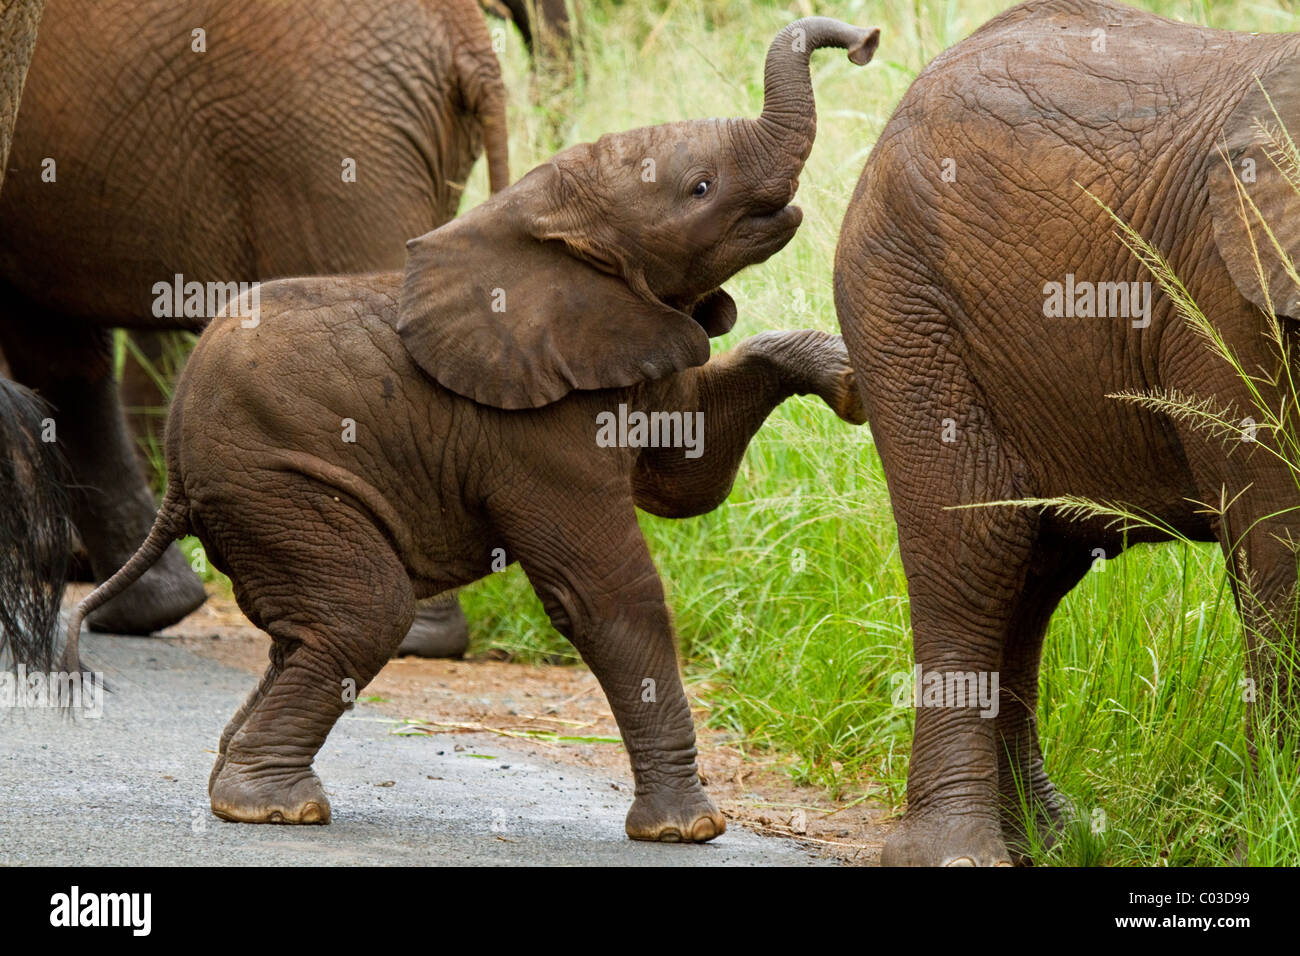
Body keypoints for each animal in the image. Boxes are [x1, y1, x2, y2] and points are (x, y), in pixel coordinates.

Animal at [63, 16, 879, 840]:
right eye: (700, 188)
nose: (865, 41)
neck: (546, 216)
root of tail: (177, 476)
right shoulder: (530, 430)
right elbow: (610, 593)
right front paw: (685, 830)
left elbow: (689, 477)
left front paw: (850, 383)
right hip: (272, 485)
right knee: (364, 613)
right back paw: (271, 806)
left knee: (305, 632)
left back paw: (240, 781)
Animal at [835, 0, 1300, 865]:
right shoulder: (1230, 292)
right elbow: (1278, 539)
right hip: (902, 296)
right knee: (974, 555)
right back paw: (960, 851)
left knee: (1037, 570)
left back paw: (1049, 838)